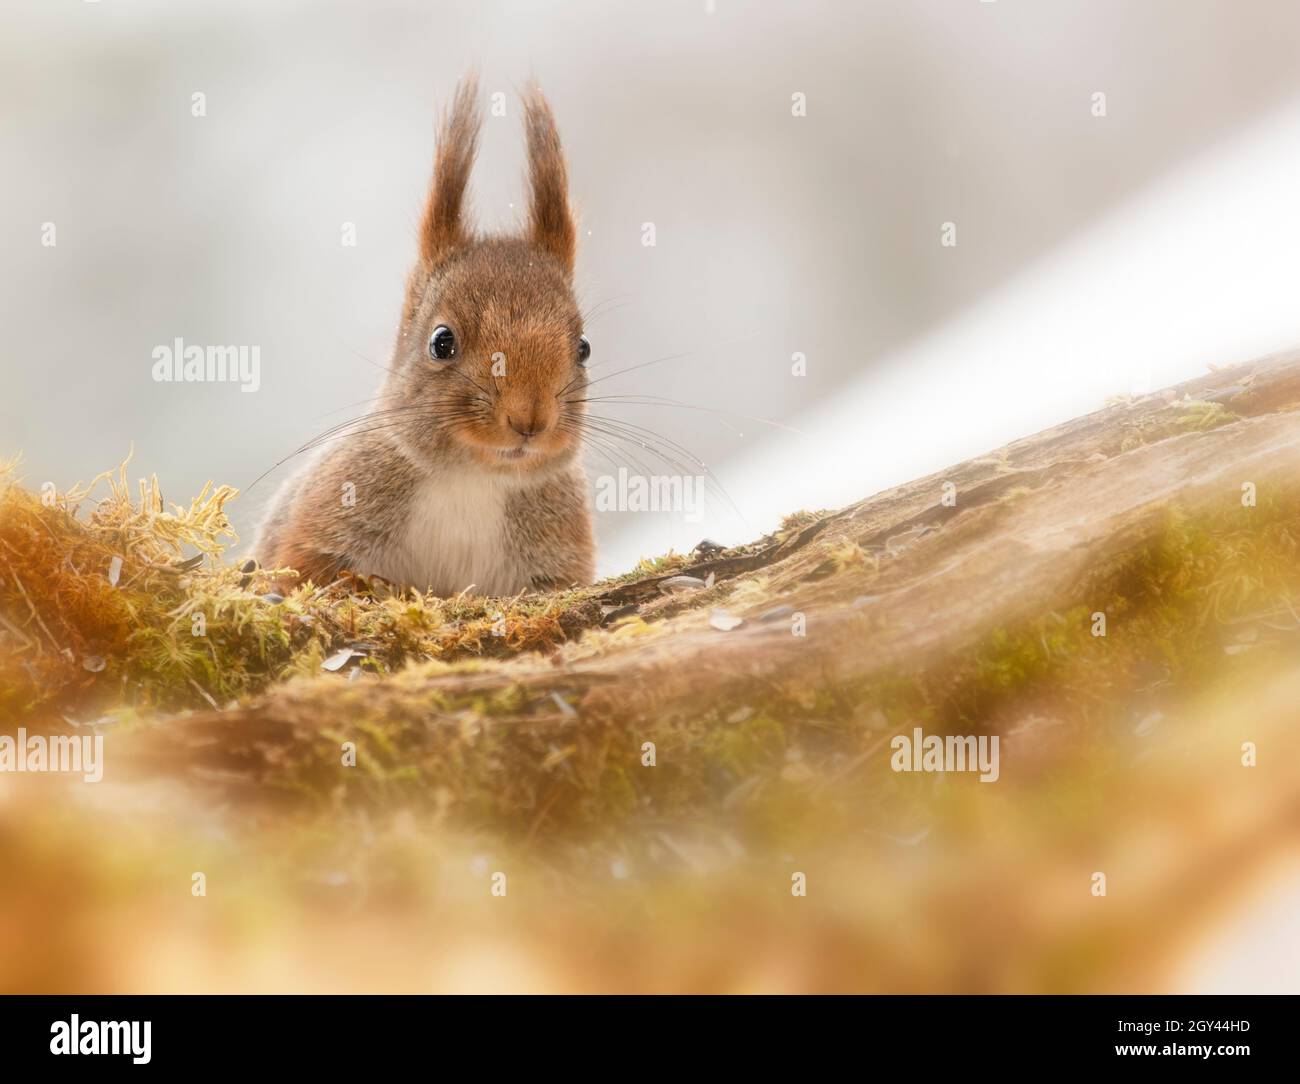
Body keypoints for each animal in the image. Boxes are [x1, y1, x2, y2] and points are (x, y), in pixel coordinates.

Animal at [253, 77, 596, 596]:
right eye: (441, 341)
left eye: (583, 348)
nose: (529, 420)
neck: (474, 481)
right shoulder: (321, 518)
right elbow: (302, 570)